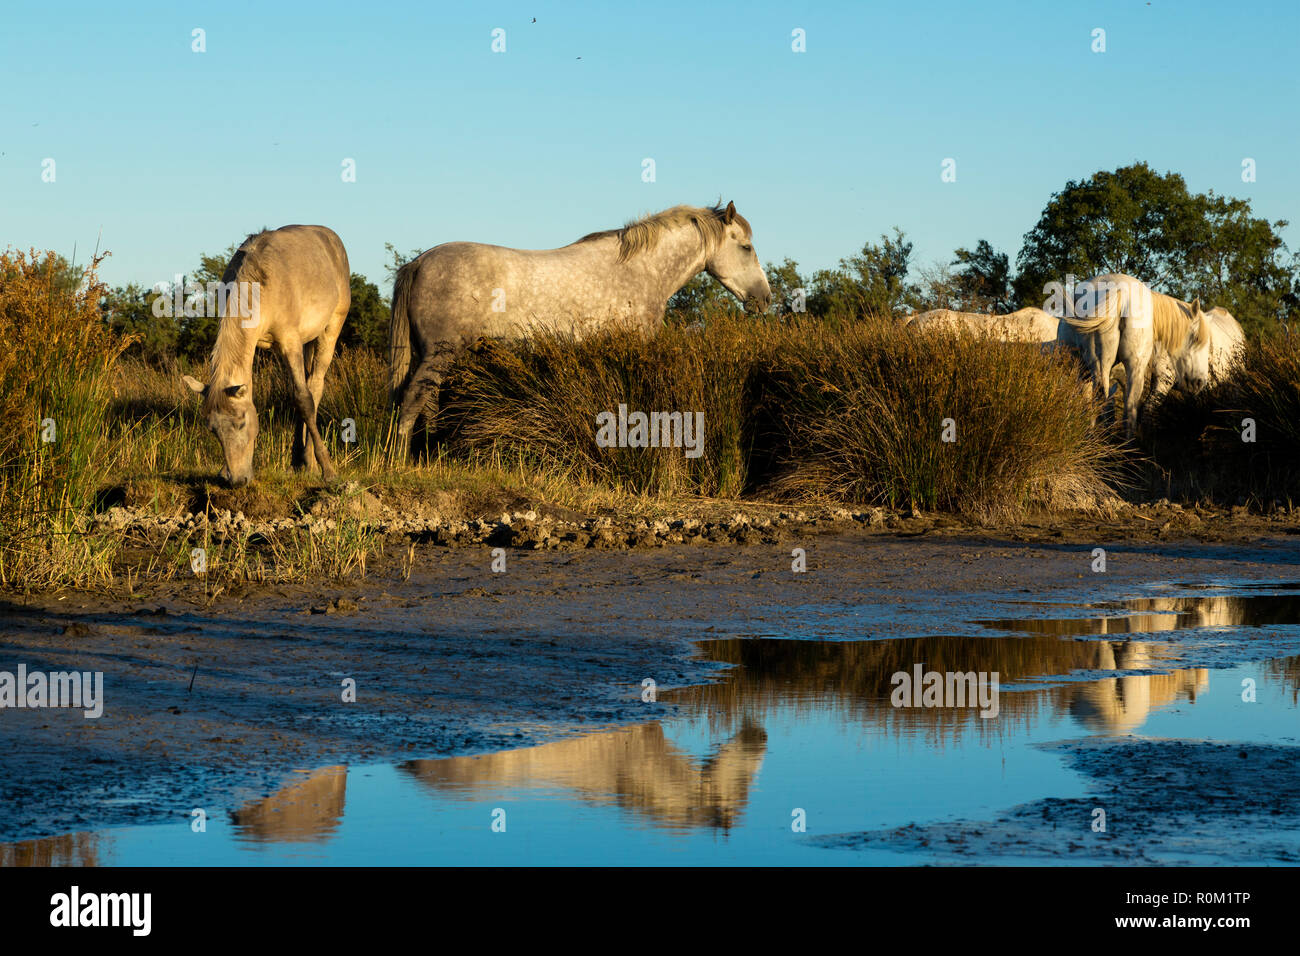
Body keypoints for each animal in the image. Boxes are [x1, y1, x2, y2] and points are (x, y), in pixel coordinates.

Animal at [182, 225, 350, 486]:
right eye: (212, 429)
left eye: (241, 423)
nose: (237, 480)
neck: (260, 284)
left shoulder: (290, 342)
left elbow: (303, 399)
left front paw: (328, 470)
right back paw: (298, 460)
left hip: (330, 329)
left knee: (314, 387)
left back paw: (311, 462)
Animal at [388, 201, 772, 439]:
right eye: (746, 247)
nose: (765, 299)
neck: (641, 270)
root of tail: (419, 263)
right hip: (440, 353)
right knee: (412, 402)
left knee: (427, 402)